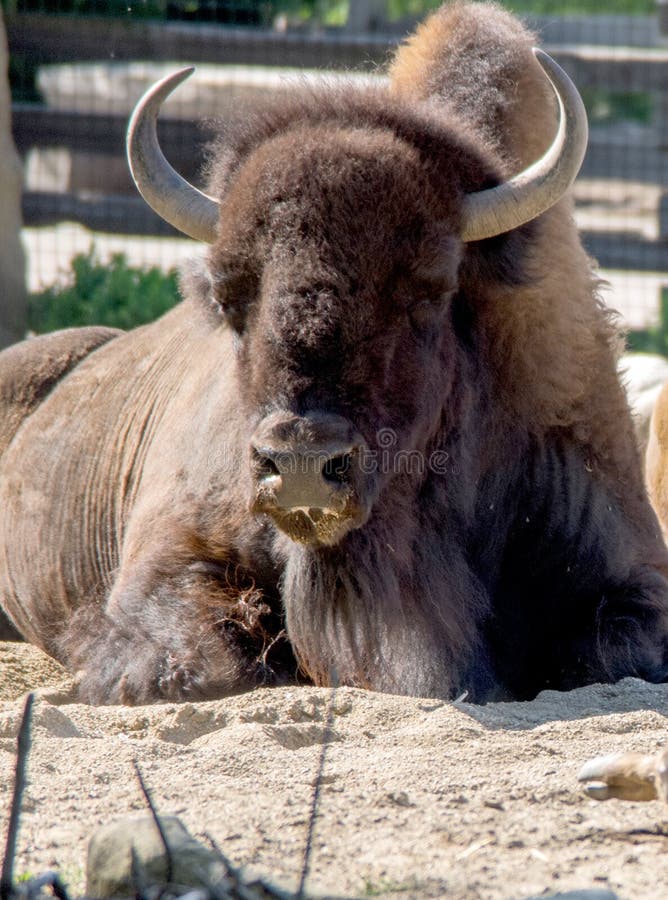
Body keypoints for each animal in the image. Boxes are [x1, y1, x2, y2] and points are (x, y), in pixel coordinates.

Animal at [1, 1, 668, 705]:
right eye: (231, 296)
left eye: (429, 289)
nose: (300, 464)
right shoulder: (170, 559)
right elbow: (208, 661)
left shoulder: (629, 570)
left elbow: (608, 655)